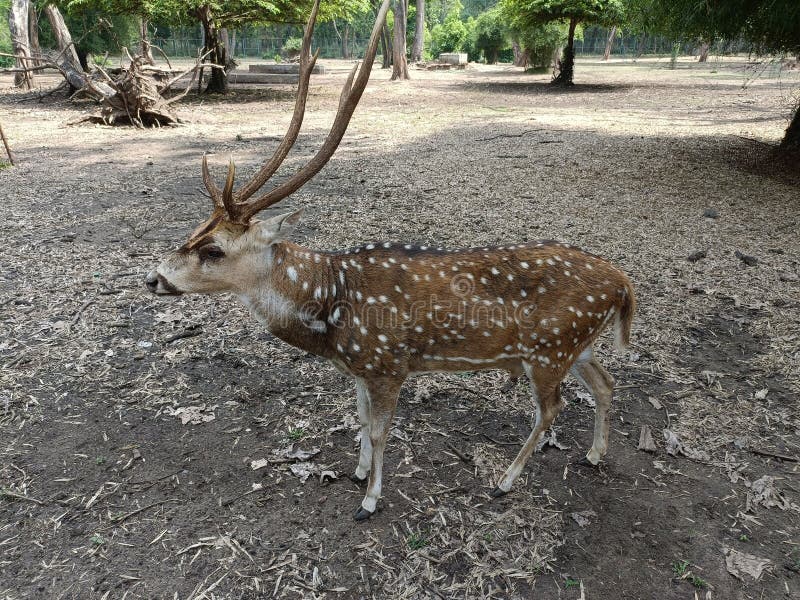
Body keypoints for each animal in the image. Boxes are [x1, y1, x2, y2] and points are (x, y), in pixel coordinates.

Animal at [145, 0, 636, 521]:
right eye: (196, 229)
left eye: (213, 249)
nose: (153, 278)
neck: (332, 311)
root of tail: (623, 284)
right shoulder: (360, 370)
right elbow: (360, 420)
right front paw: (358, 471)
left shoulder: (388, 364)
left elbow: (381, 431)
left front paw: (370, 499)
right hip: (576, 346)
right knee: (605, 384)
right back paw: (594, 454)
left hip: (548, 350)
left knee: (552, 408)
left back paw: (505, 480)